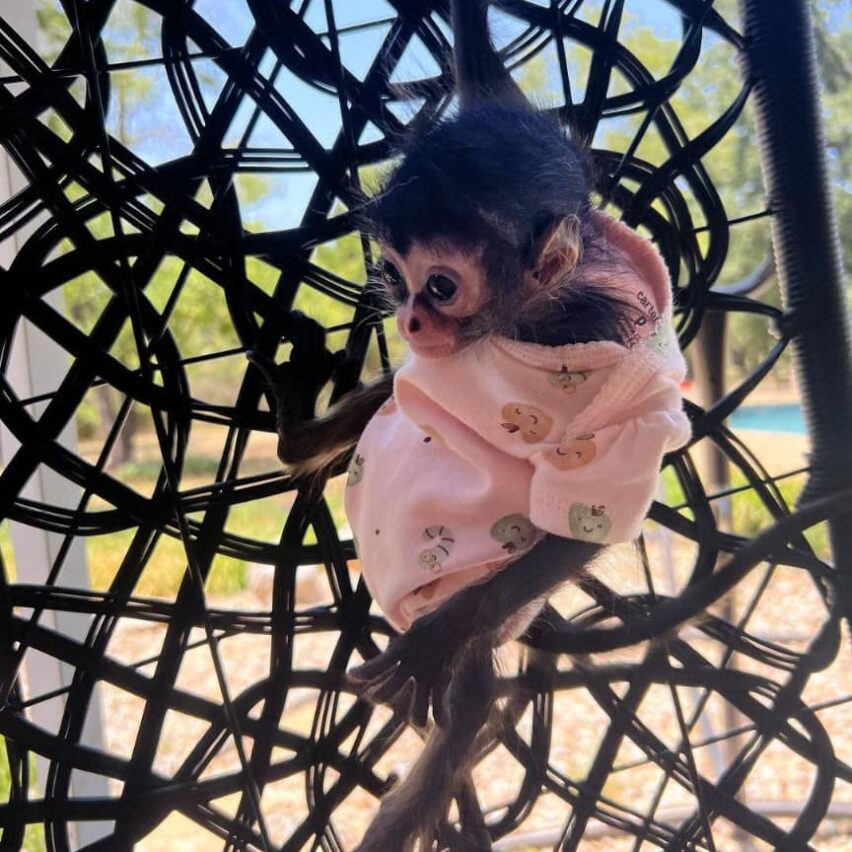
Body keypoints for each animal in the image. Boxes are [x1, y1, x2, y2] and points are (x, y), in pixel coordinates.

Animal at [249, 1, 691, 848]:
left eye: (442, 285)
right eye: (395, 273)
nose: (411, 319)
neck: (532, 317)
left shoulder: (626, 388)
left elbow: (589, 517)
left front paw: (437, 641)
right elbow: (482, 68)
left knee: (466, 710)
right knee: (396, 392)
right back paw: (297, 436)